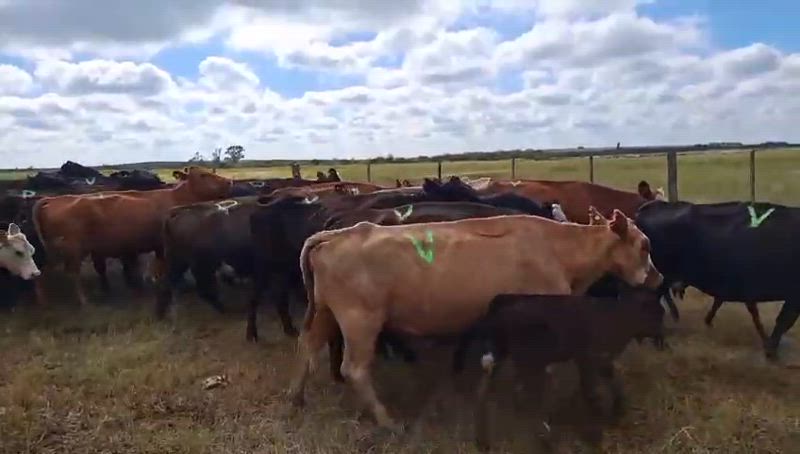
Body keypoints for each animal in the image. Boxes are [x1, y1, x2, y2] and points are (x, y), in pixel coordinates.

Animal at [32, 166, 233, 306]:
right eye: (203, 175)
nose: (229, 182)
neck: (176, 198)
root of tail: (53, 199)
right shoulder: (164, 244)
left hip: (54, 250)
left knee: (42, 268)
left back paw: (43, 301)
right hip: (72, 249)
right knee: (72, 273)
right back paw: (83, 301)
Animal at [290, 209, 663, 431]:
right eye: (645, 246)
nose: (658, 278)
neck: (557, 250)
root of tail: (341, 233)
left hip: (325, 312)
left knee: (307, 346)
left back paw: (296, 399)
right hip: (360, 320)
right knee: (354, 369)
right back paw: (387, 421)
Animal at [465, 290, 666, 450]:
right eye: (656, 313)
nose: (662, 335)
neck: (619, 316)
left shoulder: (596, 360)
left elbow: (608, 383)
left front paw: (616, 411)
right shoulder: (590, 357)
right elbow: (592, 389)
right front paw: (598, 427)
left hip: (502, 356)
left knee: (484, 392)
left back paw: (483, 440)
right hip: (530, 361)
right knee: (522, 397)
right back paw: (545, 440)